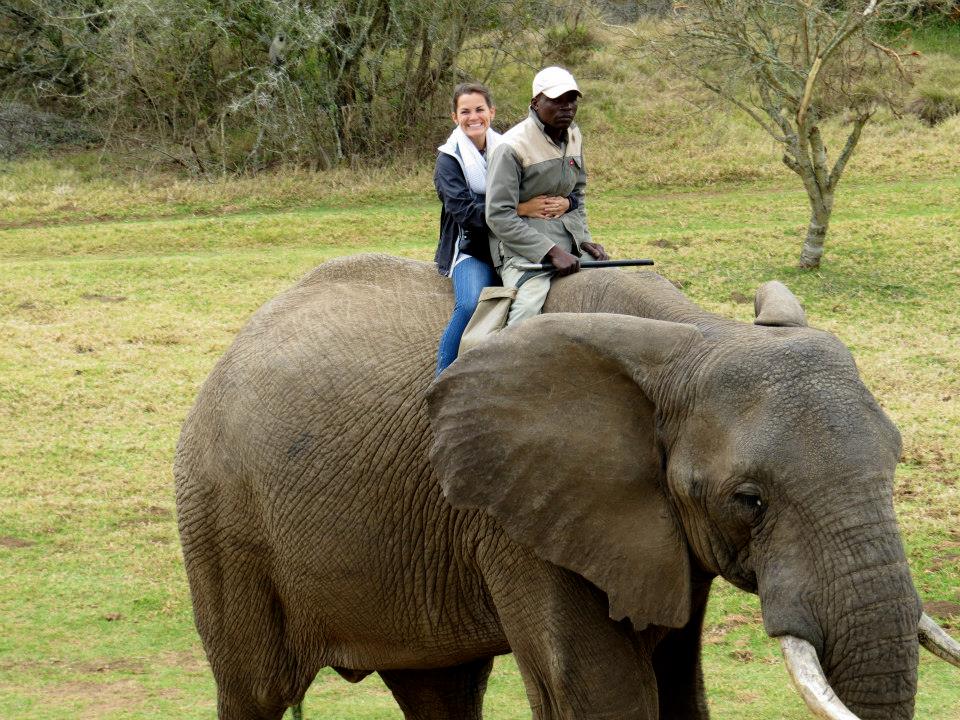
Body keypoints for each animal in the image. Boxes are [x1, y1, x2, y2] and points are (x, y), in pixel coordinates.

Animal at [174, 253, 959, 720]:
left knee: (442, 688)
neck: (693, 333)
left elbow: (678, 684)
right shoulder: (519, 516)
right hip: (222, 517)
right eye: (749, 500)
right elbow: (604, 692)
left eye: (894, 465)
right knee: (255, 691)